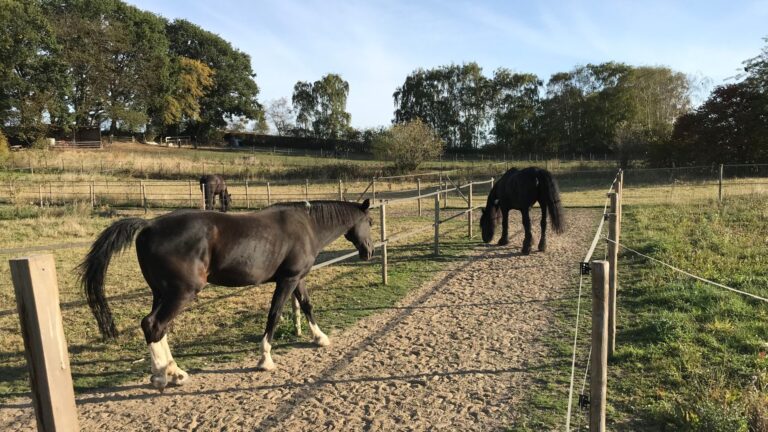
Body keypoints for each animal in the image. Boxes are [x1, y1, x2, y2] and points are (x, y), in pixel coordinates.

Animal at [78, 199, 374, 391]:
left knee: (155, 327)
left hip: (161, 292)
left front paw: (320, 338)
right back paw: (164, 377)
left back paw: (172, 372)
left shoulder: (296, 278)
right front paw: (265, 359)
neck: (307, 225)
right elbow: (274, 315)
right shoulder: (288, 280)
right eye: (369, 222)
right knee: (154, 325)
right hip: (181, 293)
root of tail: (149, 226)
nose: (368, 252)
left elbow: (307, 305)